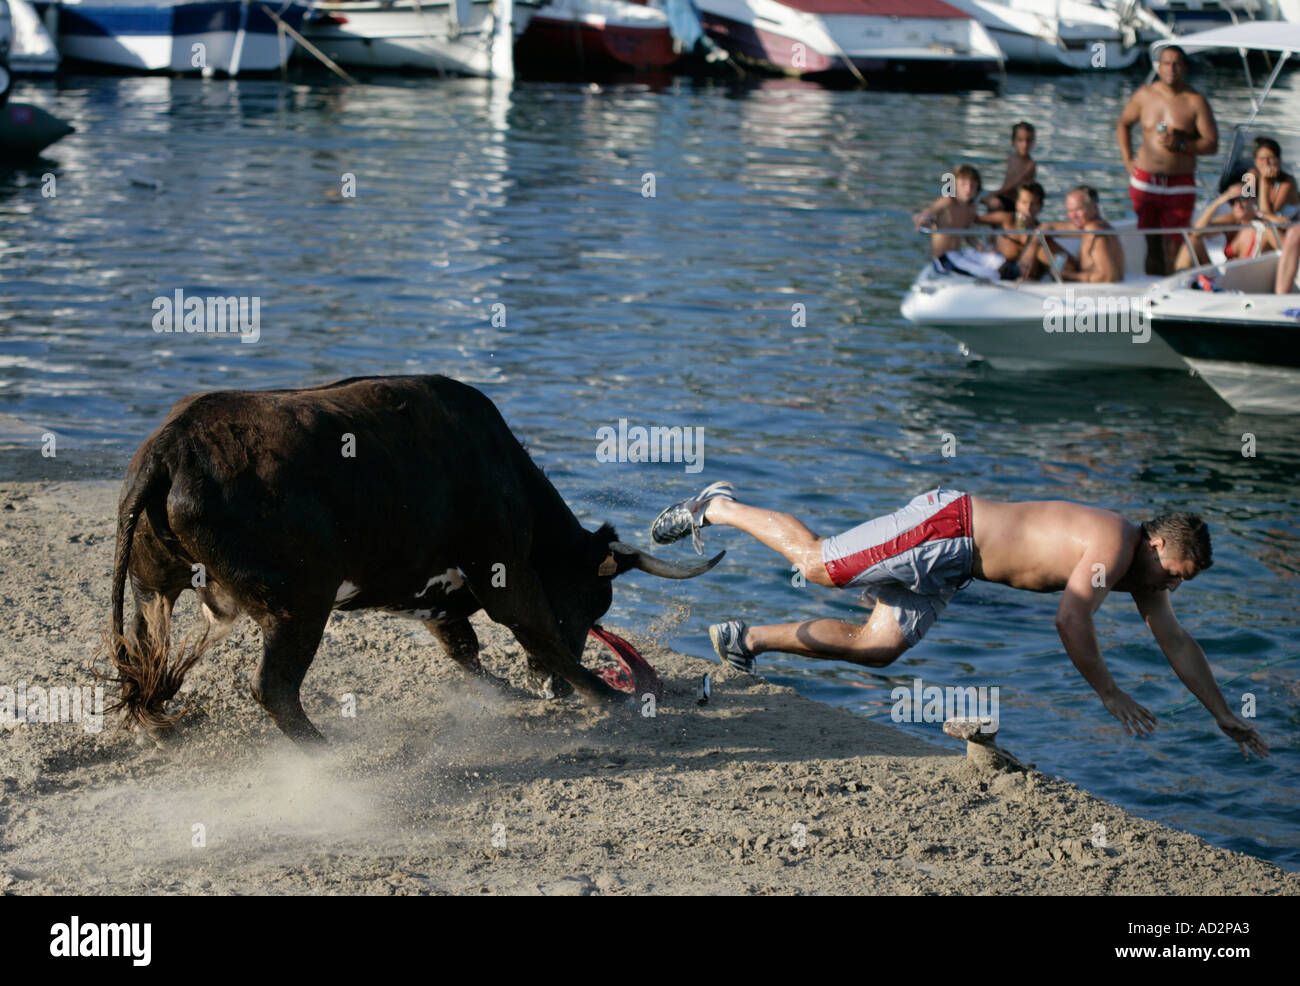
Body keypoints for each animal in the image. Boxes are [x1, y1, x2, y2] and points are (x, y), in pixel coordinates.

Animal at [107, 375, 722, 747]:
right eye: (594, 600)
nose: (553, 688)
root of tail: (169, 447)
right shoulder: (503, 571)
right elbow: (535, 630)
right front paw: (605, 695)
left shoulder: (437, 600)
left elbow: (465, 651)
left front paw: (518, 692)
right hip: (298, 605)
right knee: (273, 687)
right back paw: (325, 751)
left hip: (152, 590)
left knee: (144, 654)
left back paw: (160, 729)